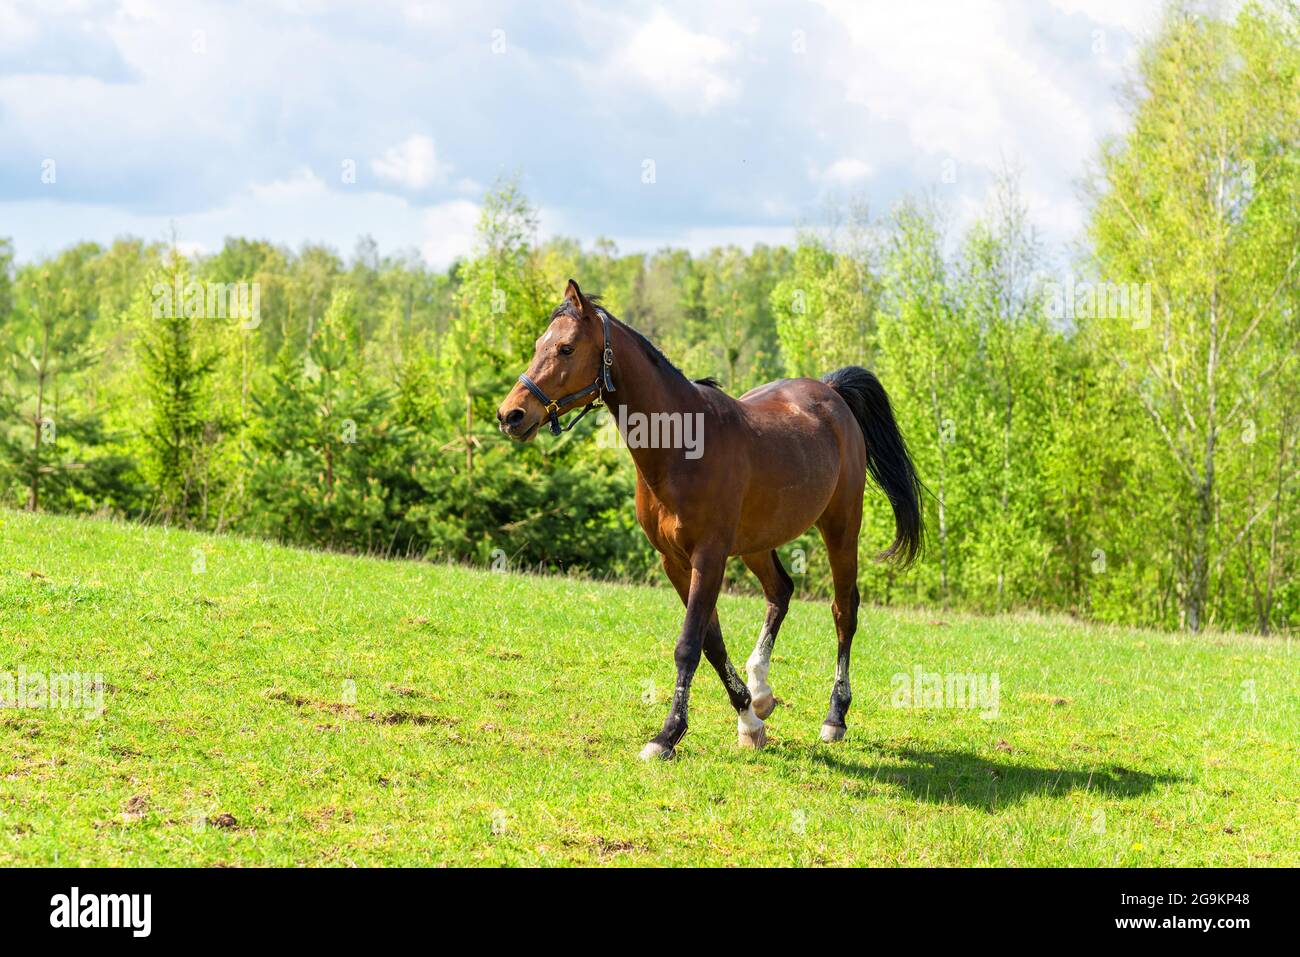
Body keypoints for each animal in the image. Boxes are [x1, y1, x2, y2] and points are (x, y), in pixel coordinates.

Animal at [497, 280, 923, 760]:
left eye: (566, 348)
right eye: (539, 344)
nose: (511, 415)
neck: (680, 447)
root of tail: (831, 393)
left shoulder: (709, 556)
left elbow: (689, 646)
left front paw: (667, 735)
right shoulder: (675, 561)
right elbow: (712, 643)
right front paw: (749, 720)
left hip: (841, 528)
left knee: (843, 611)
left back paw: (835, 716)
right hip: (758, 543)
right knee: (781, 592)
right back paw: (762, 690)